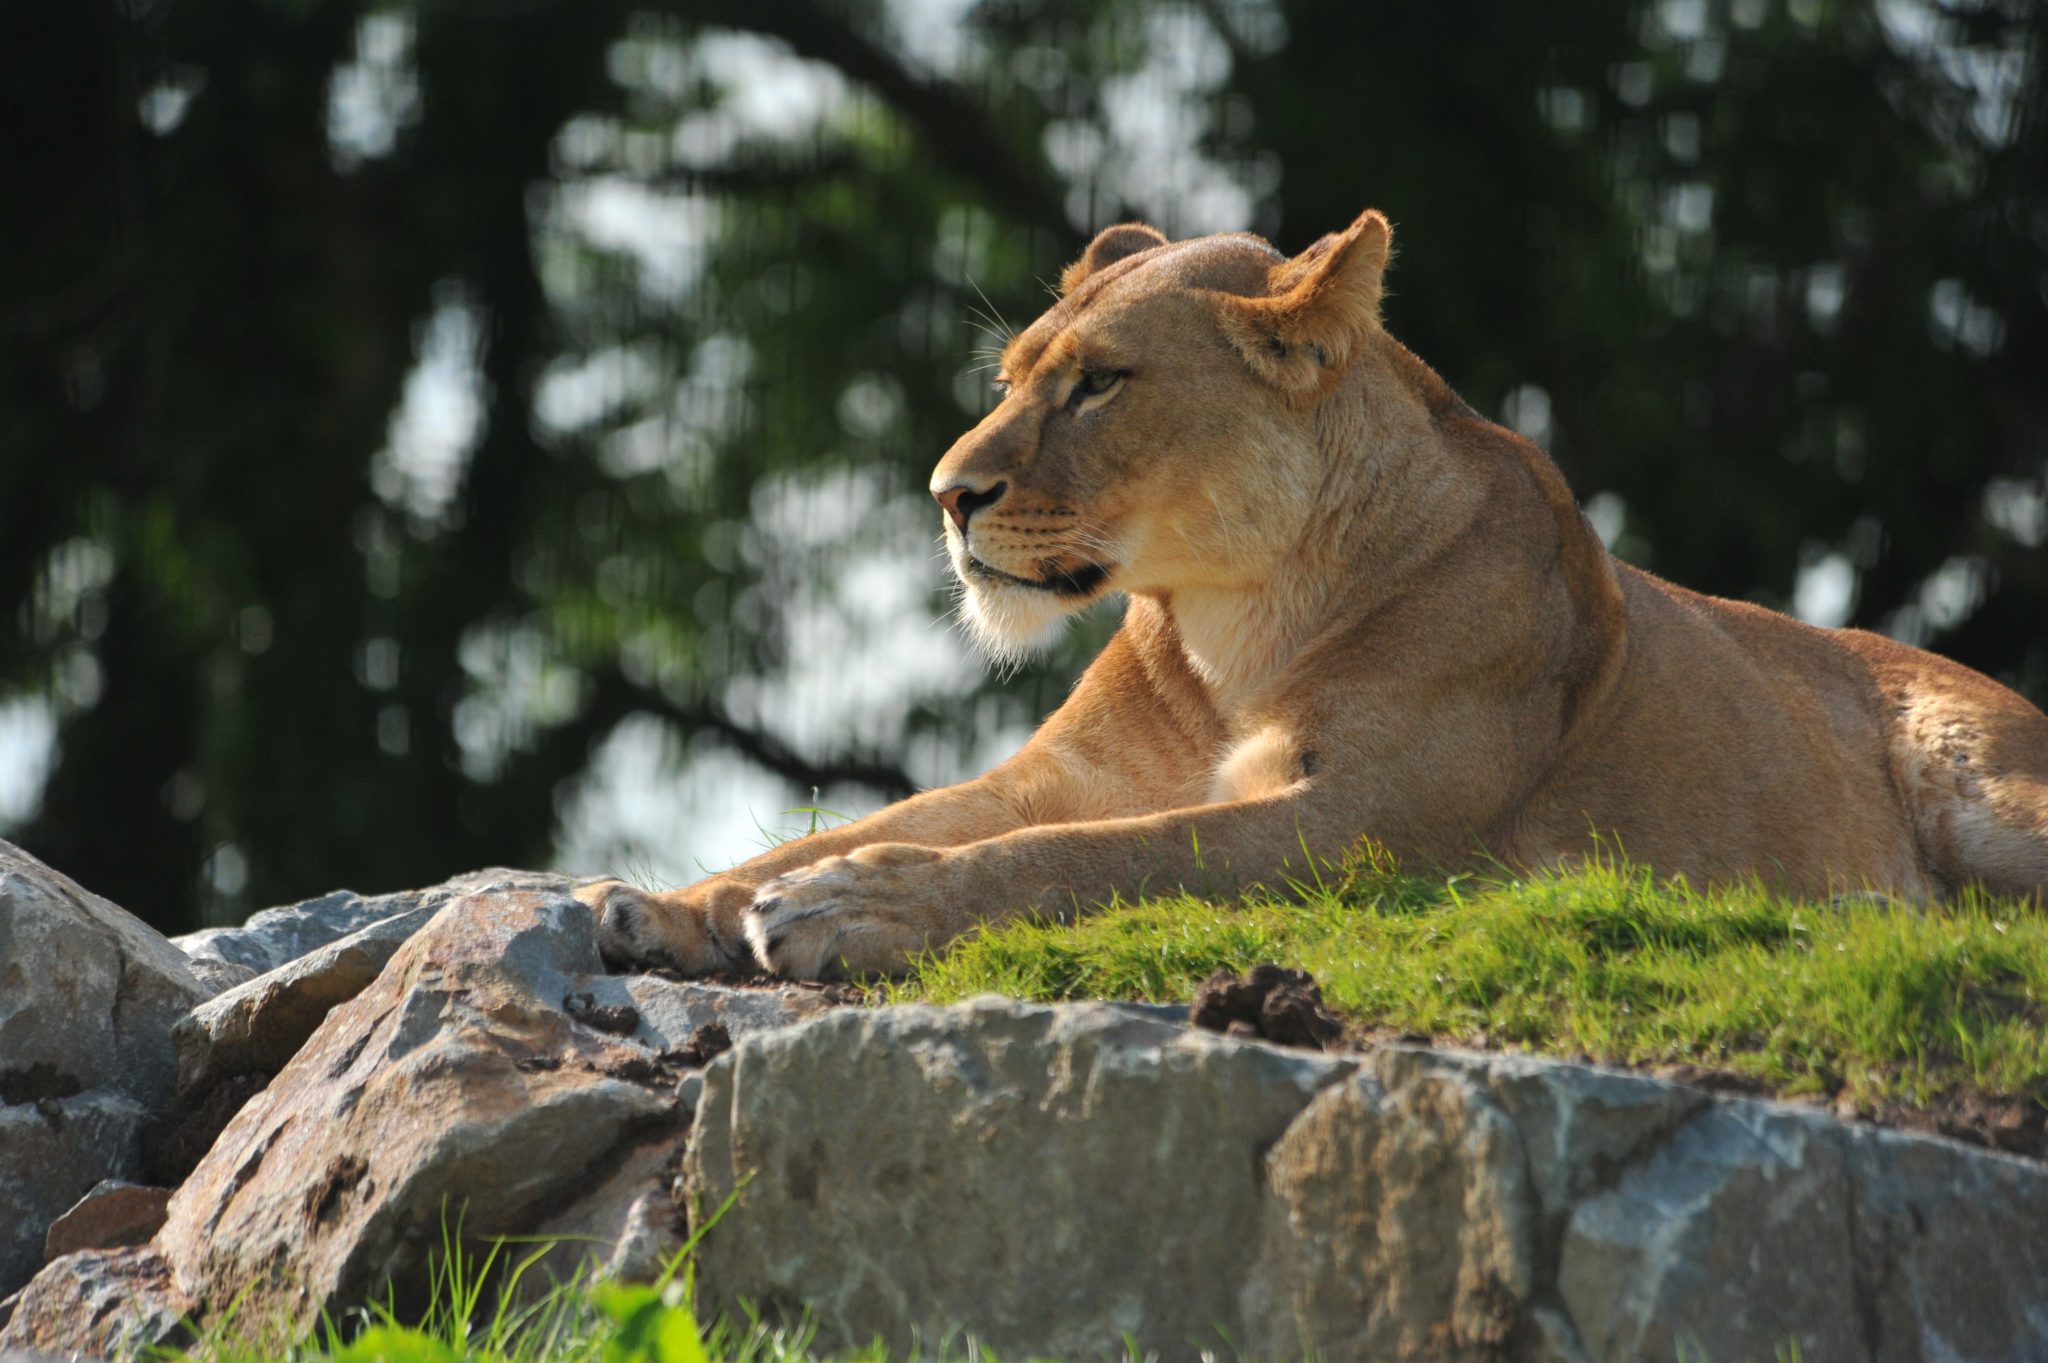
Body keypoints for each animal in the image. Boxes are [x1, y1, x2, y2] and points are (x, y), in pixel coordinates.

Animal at [578, 209, 2048, 979]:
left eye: (1099, 383)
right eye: (1013, 376)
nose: (947, 493)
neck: (1234, 611)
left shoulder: (1356, 824)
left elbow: (1090, 860)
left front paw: (851, 909)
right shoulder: (1059, 775)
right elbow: (881, 824)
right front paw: (662, 904)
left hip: (1978, 777)